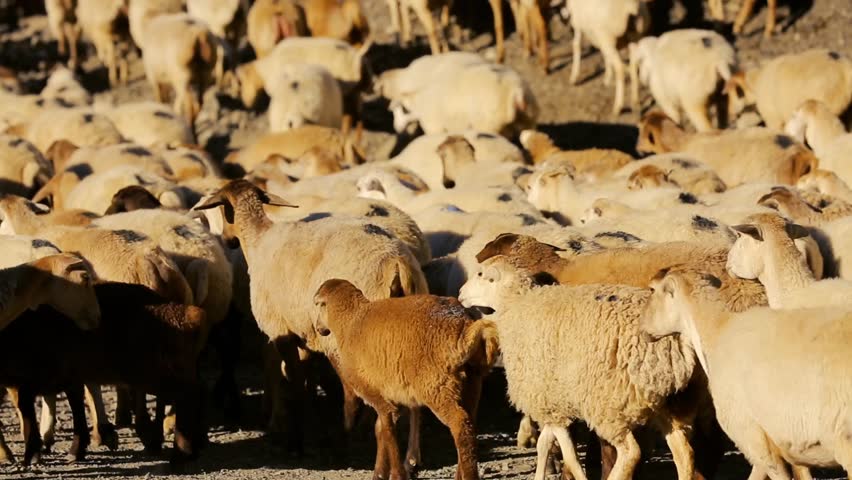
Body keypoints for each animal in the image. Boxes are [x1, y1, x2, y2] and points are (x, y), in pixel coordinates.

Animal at [0, 282, 208, 464]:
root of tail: (186, 314)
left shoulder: (35, 377)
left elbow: (27, 408)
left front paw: (32, 455)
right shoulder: (69, 376)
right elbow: (75, 405)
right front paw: (76, 449)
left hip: (151, 372)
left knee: (188, 395)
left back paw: (181, 453)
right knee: (197, 392)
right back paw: (192, 446)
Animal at [193, 180, 428, 457]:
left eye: (221, 209)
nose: (228, 241)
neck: (259, 239)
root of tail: (396, 262)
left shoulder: (280, 331)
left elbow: (293, 383)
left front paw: (293, 441)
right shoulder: (303, 335)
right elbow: (302, 383)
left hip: (346, 340)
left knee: (356, 396)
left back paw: (347, 441)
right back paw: (410, 457)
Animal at [313, 279, 498, 480]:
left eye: (317, 305)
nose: (318, 329)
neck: (350, 322)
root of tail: (465, 330)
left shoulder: (377, 395)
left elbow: (388, 430)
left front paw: (396, 474)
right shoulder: (392, 396)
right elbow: (381, 429)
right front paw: (380, 472)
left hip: (438, 388)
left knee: (460, 425)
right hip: (472, 384)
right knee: (470, 424)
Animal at [390, 62, 538, 138]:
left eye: (400, 108)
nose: (396, 129)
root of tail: (516, 91)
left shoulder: (434, 128)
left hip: (489, 125)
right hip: (528, 119)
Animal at [458, 258, 697, 480]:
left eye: (480, 274)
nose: (459, 294)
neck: (517, 303)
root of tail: (674, 342)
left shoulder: (547, 399)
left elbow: (570, 455)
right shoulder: (551, 399)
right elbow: (544, 444)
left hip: (608, 404)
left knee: (631, 452)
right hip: (671, 401)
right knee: (683, 451)